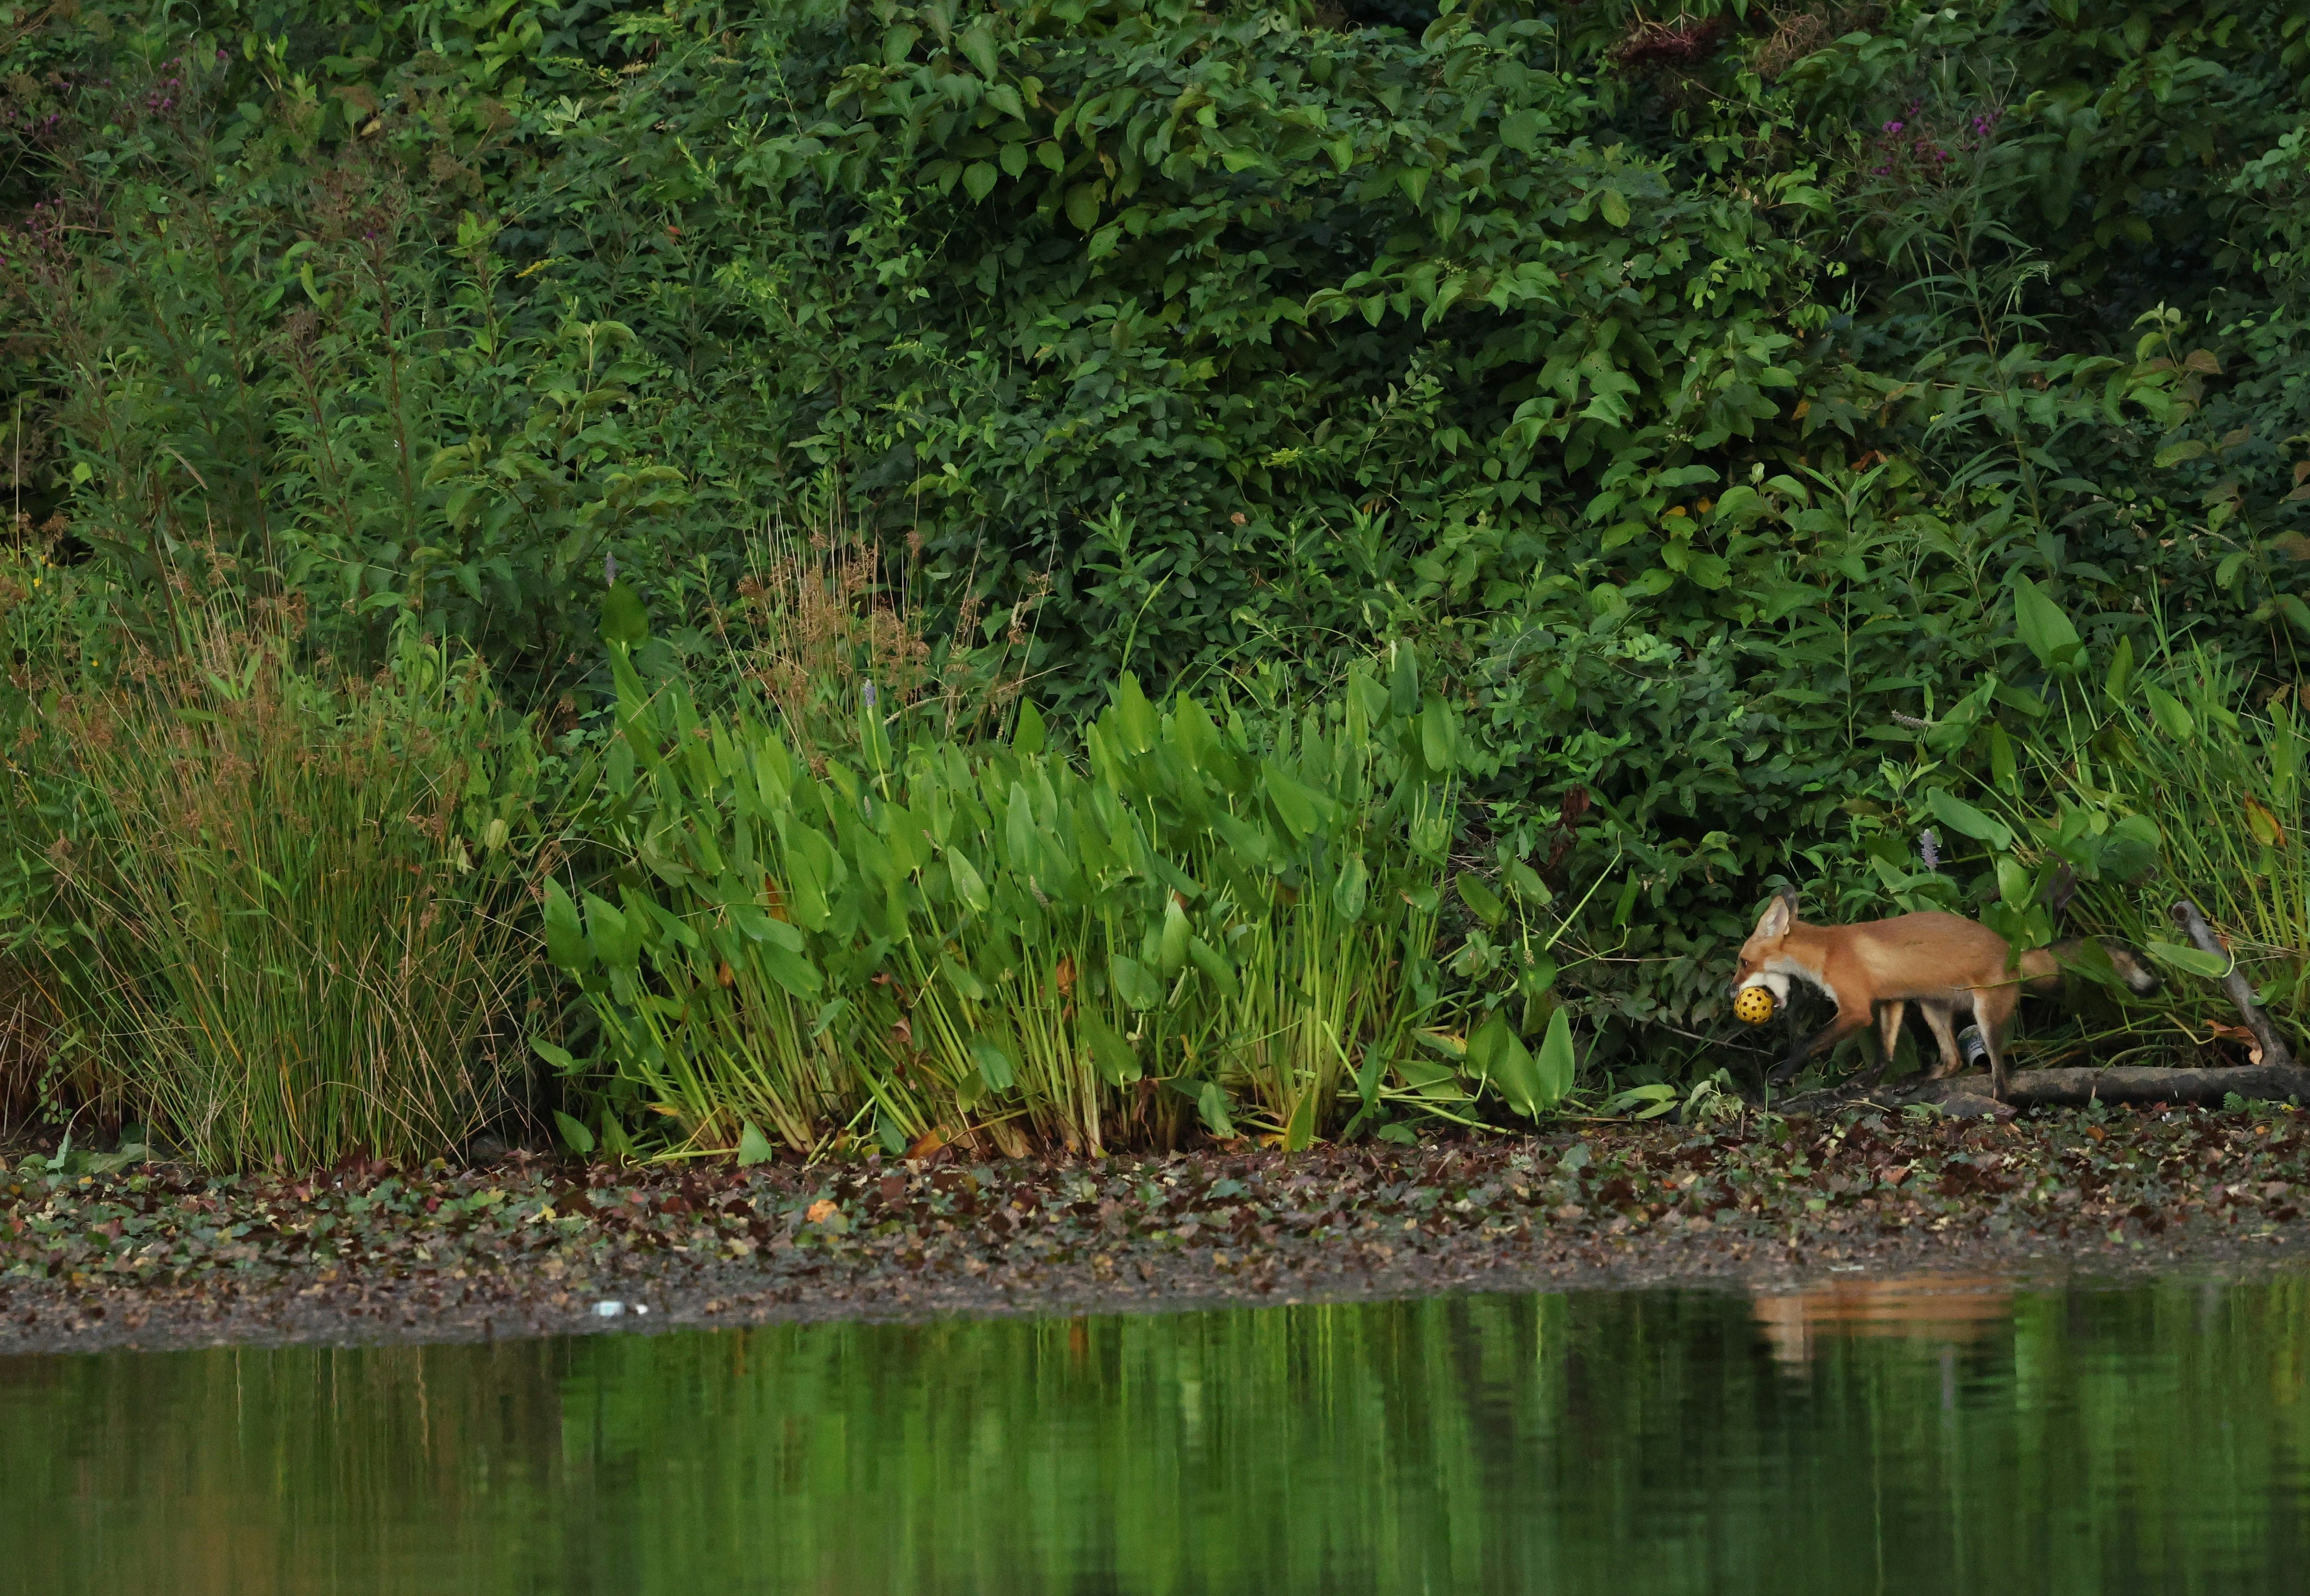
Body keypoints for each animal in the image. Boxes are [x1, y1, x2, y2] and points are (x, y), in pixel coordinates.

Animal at [1731, 889, 2160, 1100]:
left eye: (1742, 962)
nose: (1730, 989)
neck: (1827, 951)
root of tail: (2012, 952)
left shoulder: (1856, 1008)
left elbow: (1807, 1043)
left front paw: (1779, 1076)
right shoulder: (1892, 999)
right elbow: (1884, 1055)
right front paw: (1863, 1084)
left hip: (1986, 1014)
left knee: (1999, 1073)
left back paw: (1994, 1102)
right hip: (1930, 1006)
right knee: (1952, 1060)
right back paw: (1920, 1079)